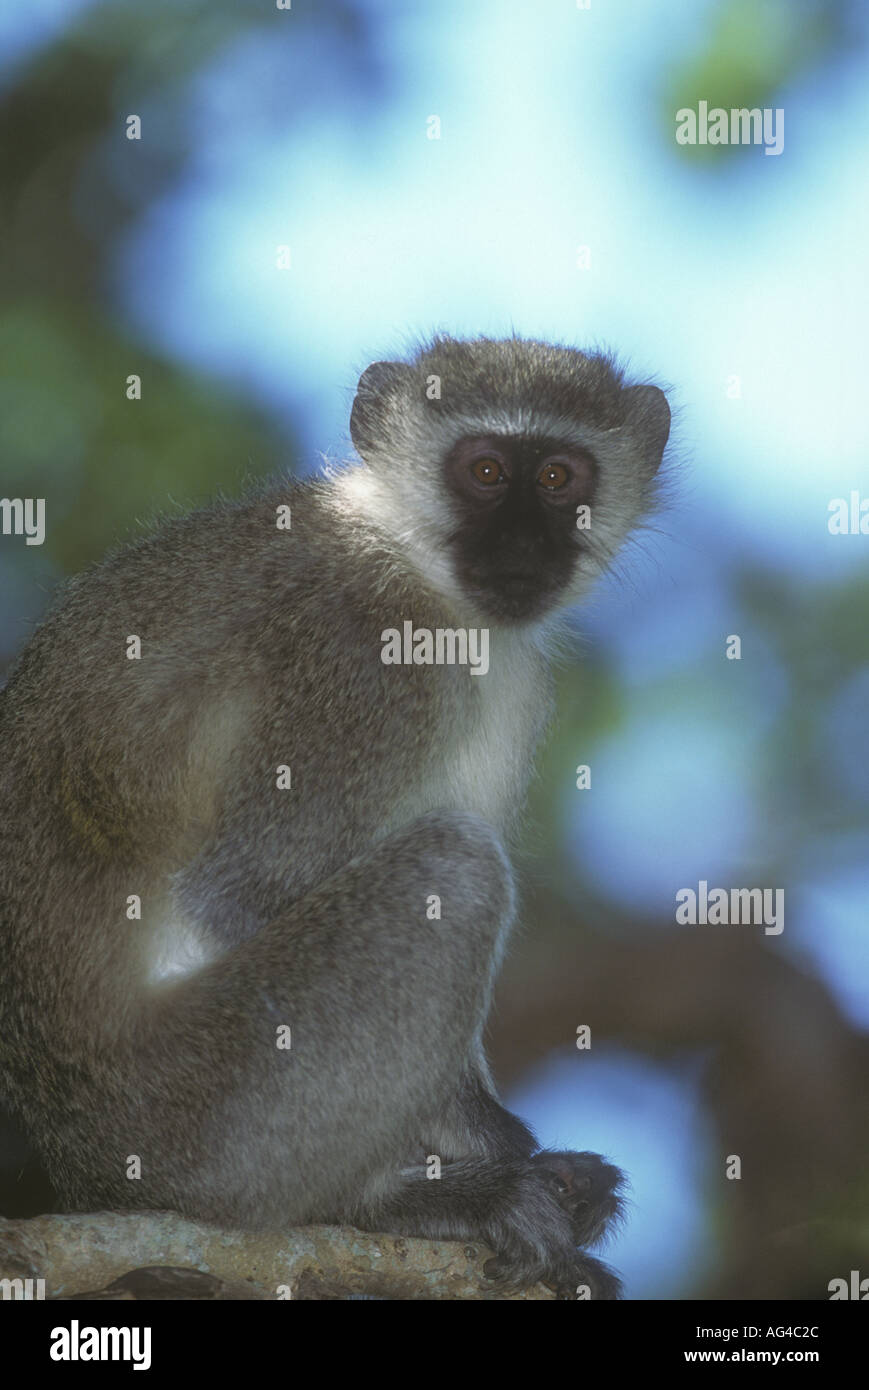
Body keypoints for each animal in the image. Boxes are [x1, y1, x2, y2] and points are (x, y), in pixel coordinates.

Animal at [0, 335, 670, 1299]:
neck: (408, 559)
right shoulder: (364, 660)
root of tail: (80, 1165)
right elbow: (238, 893)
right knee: (454, 869)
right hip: (196, 1116)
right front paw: (497, 1154)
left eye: (556, 477)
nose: (520, 547)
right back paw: (382, 1206)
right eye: (483, 470)